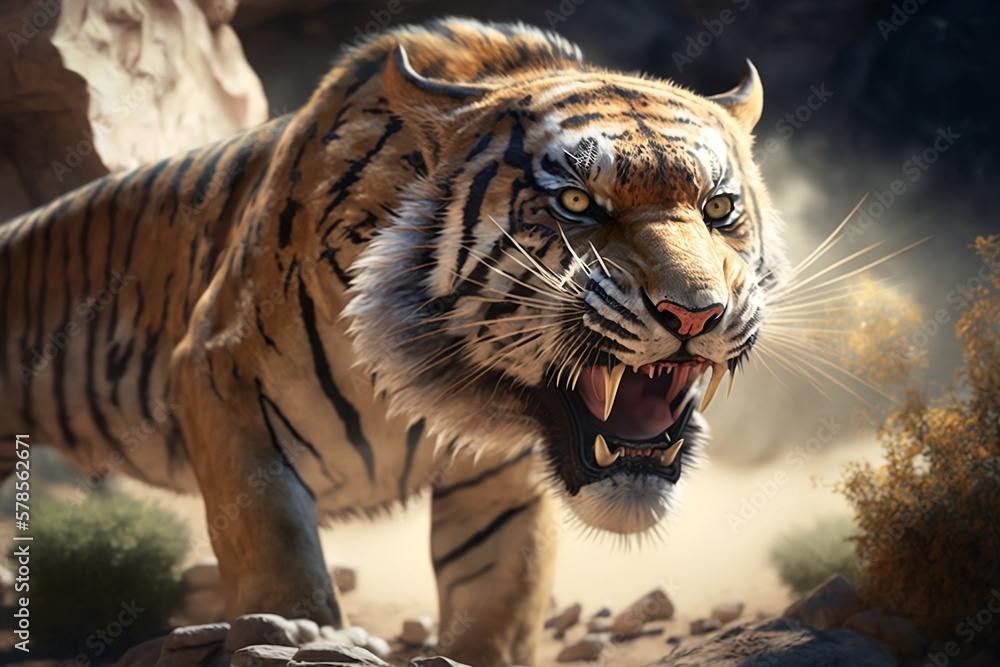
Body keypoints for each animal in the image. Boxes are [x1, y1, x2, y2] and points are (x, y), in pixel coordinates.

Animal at [0, 18, 784, 666]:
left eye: (718, 209)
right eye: (577, 203)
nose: (695, 314)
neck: (426, 386)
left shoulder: (501, 476)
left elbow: (498, 601)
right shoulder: (214, 378)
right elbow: (276, 555)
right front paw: (298, 635)